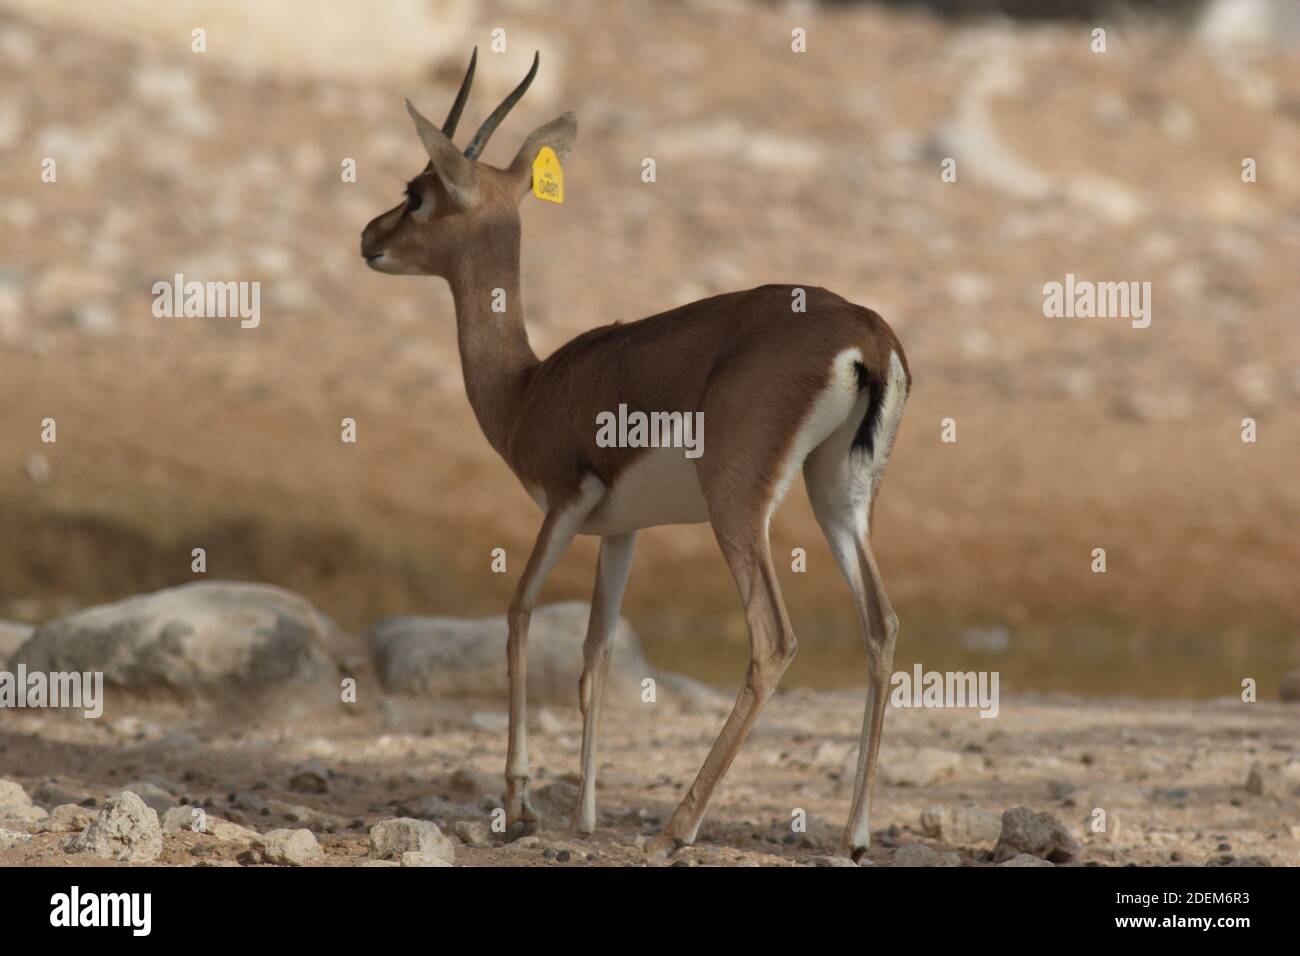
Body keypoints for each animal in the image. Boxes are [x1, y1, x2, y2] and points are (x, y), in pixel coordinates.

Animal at [360, 50, 911, 860]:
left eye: (417, 193)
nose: (368, 237)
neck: (527, 387)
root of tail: (866, 333)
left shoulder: (562, 505)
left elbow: (518, 612)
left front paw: (521, 804)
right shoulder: (621, 531)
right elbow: (596, 654)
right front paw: (584, 814)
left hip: (737, 504)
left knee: (773, 639)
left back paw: (676, 830)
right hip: (838, 496)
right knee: (880, 625)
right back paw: (856, 833)